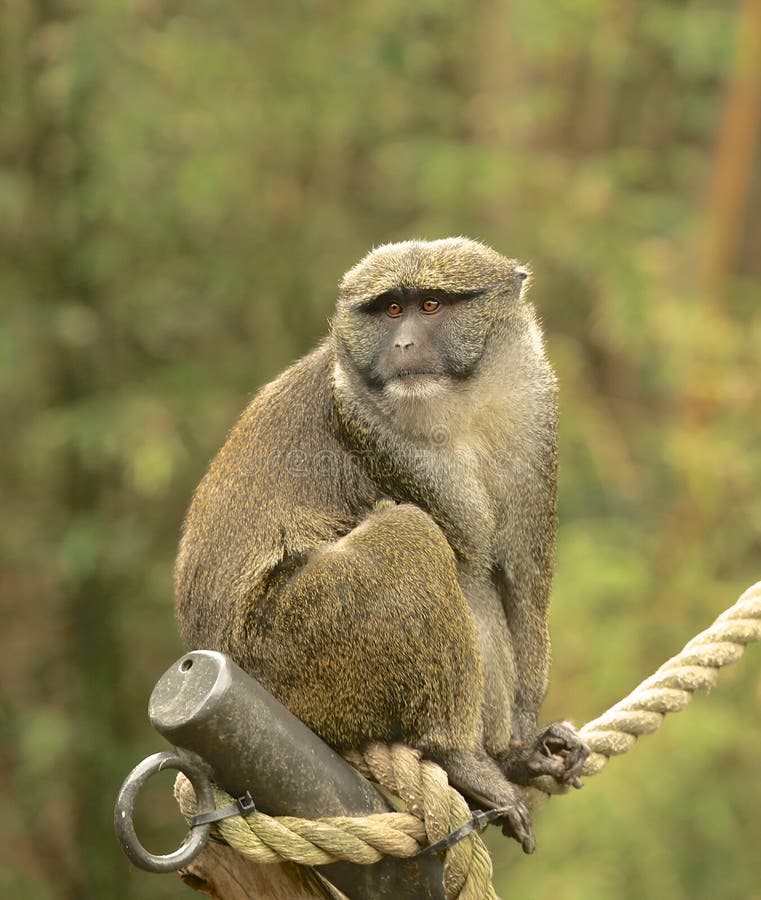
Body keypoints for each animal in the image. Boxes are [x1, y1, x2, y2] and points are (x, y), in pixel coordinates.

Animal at [175, 237, 589, 854]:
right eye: (392, 310)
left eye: (431, 305)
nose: (404, 343)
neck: (461, 409)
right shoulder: (373, 433)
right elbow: (471, 564)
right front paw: (486, 756)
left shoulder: (535, 410)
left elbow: (520, 583)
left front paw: (520, 750)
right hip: (296, 650)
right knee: (413, 537)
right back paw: (456, 754)